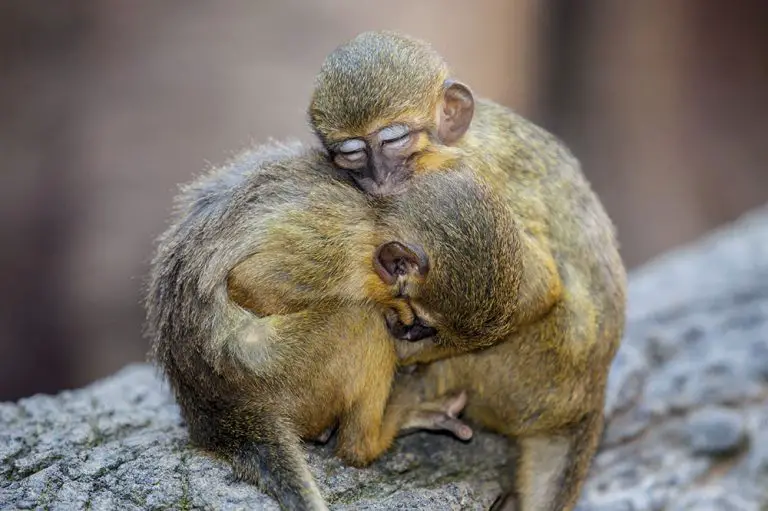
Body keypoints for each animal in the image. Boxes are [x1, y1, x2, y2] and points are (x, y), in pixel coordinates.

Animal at [145, 140, 543, 510]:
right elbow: (251, 282)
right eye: (423, 324)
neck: (376, 212)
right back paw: (369, 439)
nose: (411, 333)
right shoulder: (343, 249)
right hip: (281, 375)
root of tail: (224, 417)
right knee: (361, 322)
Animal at [308, 31, 628, 511]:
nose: (378, 176)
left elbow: (538, 287)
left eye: (393, 140)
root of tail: (590, 396)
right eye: (352, 153)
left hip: (525, 371)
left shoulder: (455, 178)